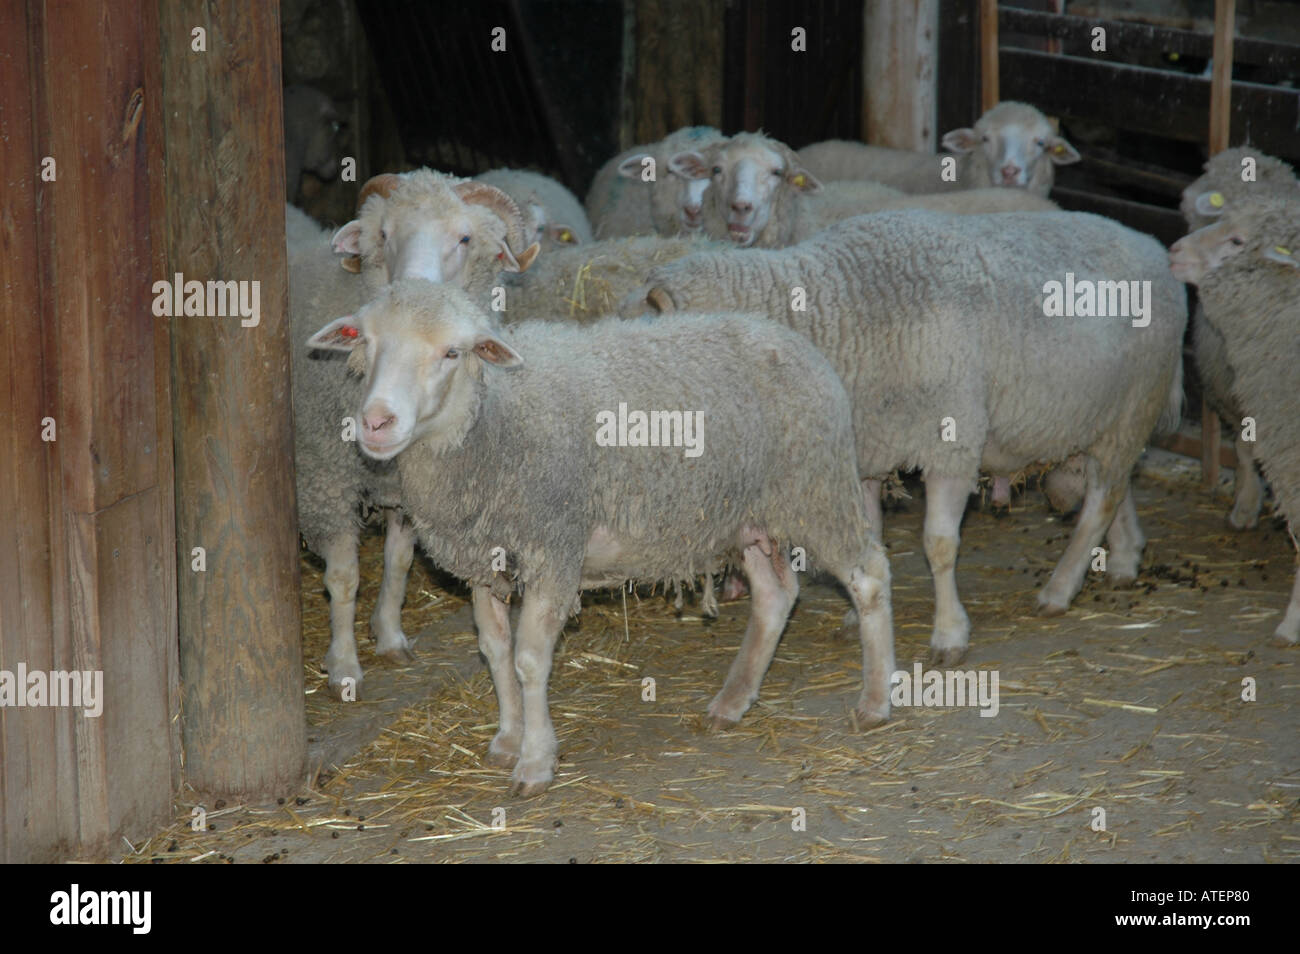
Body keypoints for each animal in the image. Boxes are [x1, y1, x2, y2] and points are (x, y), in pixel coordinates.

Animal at [307, 279, 895, 796]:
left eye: (452, 352)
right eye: (366, 342)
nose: (376, 422)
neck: (492, 418)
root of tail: (794, 341)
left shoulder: (554, 547)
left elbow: (529, 659)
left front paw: (535, 762)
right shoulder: (484, 557)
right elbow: (495, 650)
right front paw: (507, 738)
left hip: (817, 488)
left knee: (868, 576)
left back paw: (874, 702)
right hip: (745, 513)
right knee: (775, 596)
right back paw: (731, 703)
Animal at [624, 209, 1187, 664]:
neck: (835, 311)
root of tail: (1153, 246)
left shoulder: (953, 441)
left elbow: (939, 545)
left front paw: (949, 635)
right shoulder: (867, 451)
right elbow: (870, 535)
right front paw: (859, 617)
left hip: (1137, 401)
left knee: (1100, 500)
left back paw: (1059, 590)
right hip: (1107, 414)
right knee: (1115, 486)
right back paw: (1124, 559)